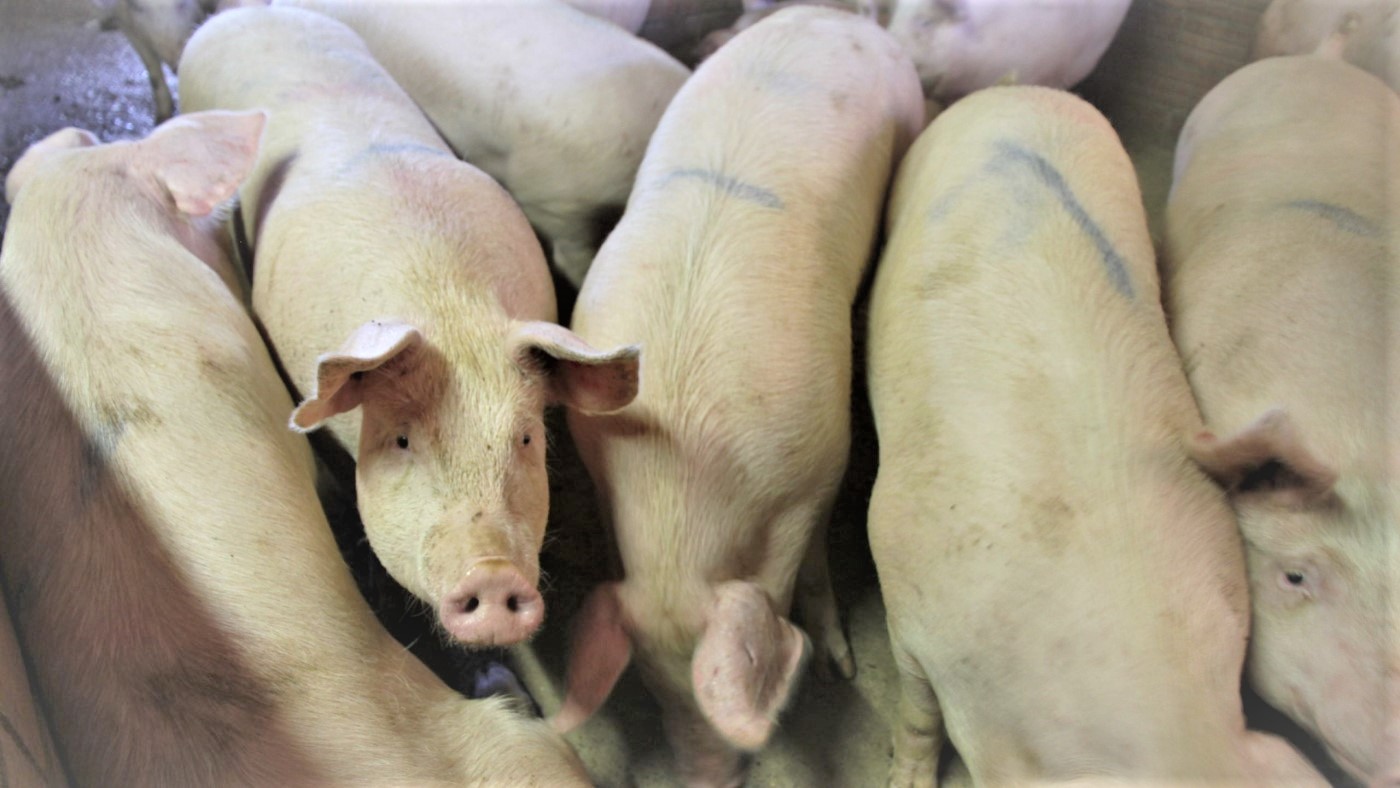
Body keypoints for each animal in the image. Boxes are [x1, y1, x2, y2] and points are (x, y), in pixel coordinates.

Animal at [550, 6, 924, 785]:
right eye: (651, 686)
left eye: (706, 688)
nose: (702, 777)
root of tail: (832, 17)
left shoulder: (822, 466)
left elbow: (813, 573)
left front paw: (838, 667)